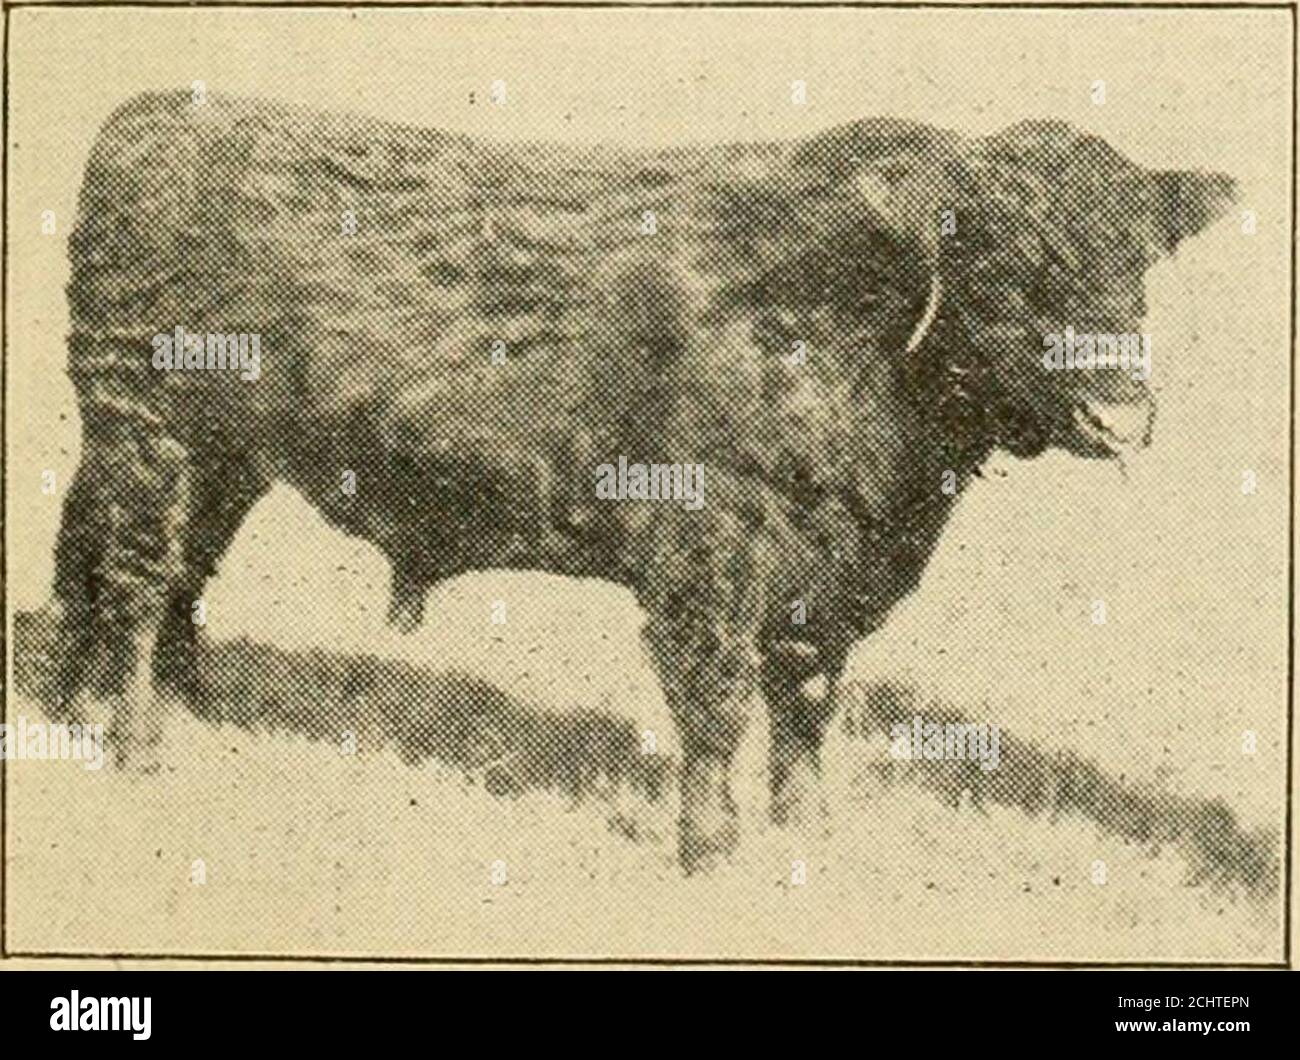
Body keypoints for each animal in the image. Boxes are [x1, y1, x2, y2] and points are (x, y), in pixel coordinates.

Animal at [51, 90, 1233, 872]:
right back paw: (135, 739)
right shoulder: (709, 544)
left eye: (1137, 264)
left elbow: (806, 699)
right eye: (1005, 264)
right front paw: (709, 847)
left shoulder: (832, 567)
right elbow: (715, 701)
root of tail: (158, 116)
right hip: (147, 428)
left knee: (139, 567)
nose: (1120, 413)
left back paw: (133, 705)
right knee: (136, 580)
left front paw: (807, 829)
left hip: (219, 455)